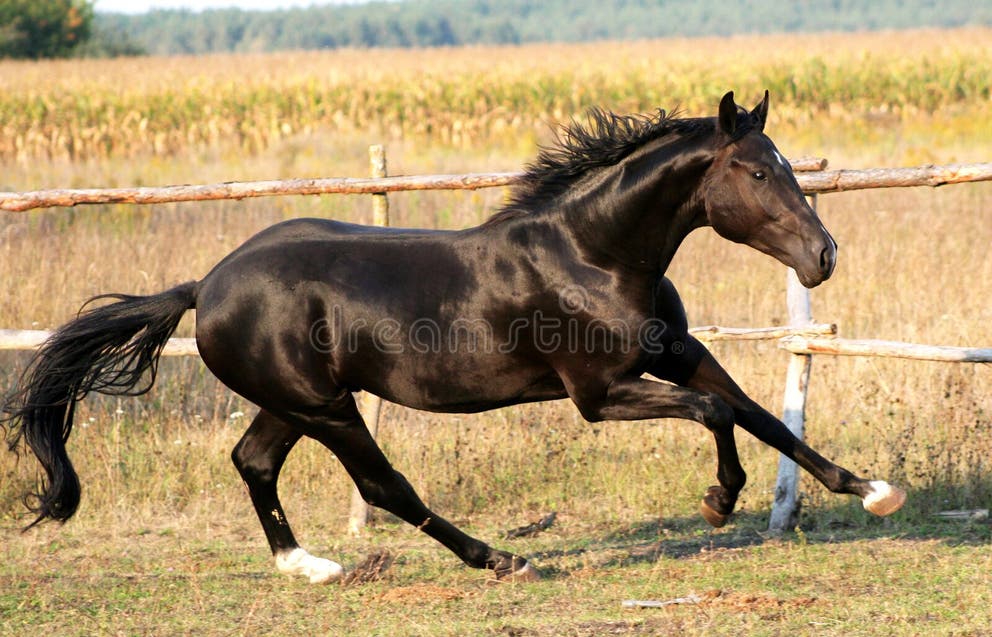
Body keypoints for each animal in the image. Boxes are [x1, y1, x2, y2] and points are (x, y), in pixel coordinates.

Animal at [2, 91, 905, 584]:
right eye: (754, 171)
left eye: (785, 163)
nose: (823, 256)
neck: (593, 253)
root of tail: (205, 285)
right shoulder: (600, 393)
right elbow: (718, 416)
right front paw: (720, 501)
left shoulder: (677, 353)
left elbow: (758, 411)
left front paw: (871, 489)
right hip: (326, 408)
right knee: (384, 487)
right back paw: (501, 559)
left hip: (295, 402)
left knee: (253, 461)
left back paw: (311, 566)